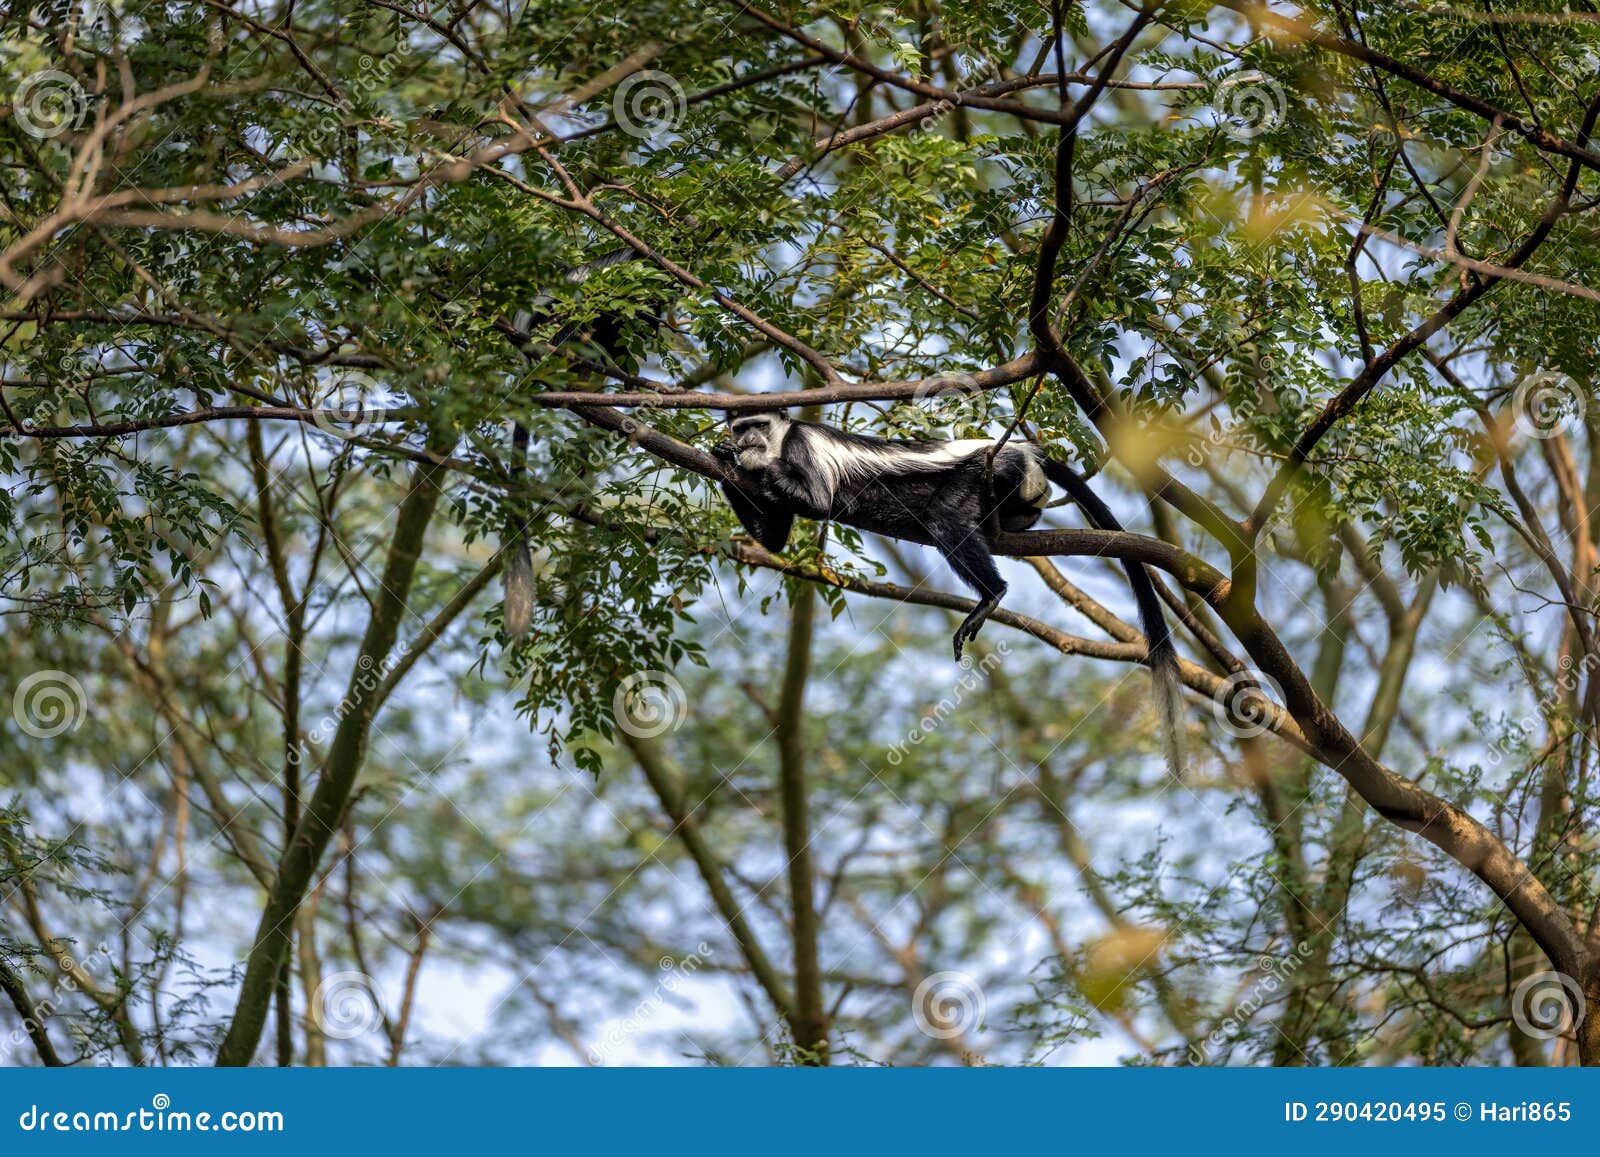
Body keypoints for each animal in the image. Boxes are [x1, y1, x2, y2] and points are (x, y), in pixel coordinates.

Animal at [713, 411, 1182, 771]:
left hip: (985, 471)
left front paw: (748, 463)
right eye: (740, 427)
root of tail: (1023, 449)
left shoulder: (801, 446)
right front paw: (724, 458)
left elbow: (816, 500)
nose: (748, 440)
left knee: (945, 517)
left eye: (758, 426)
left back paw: (991, 595)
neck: (778, 445)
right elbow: (773, 540)